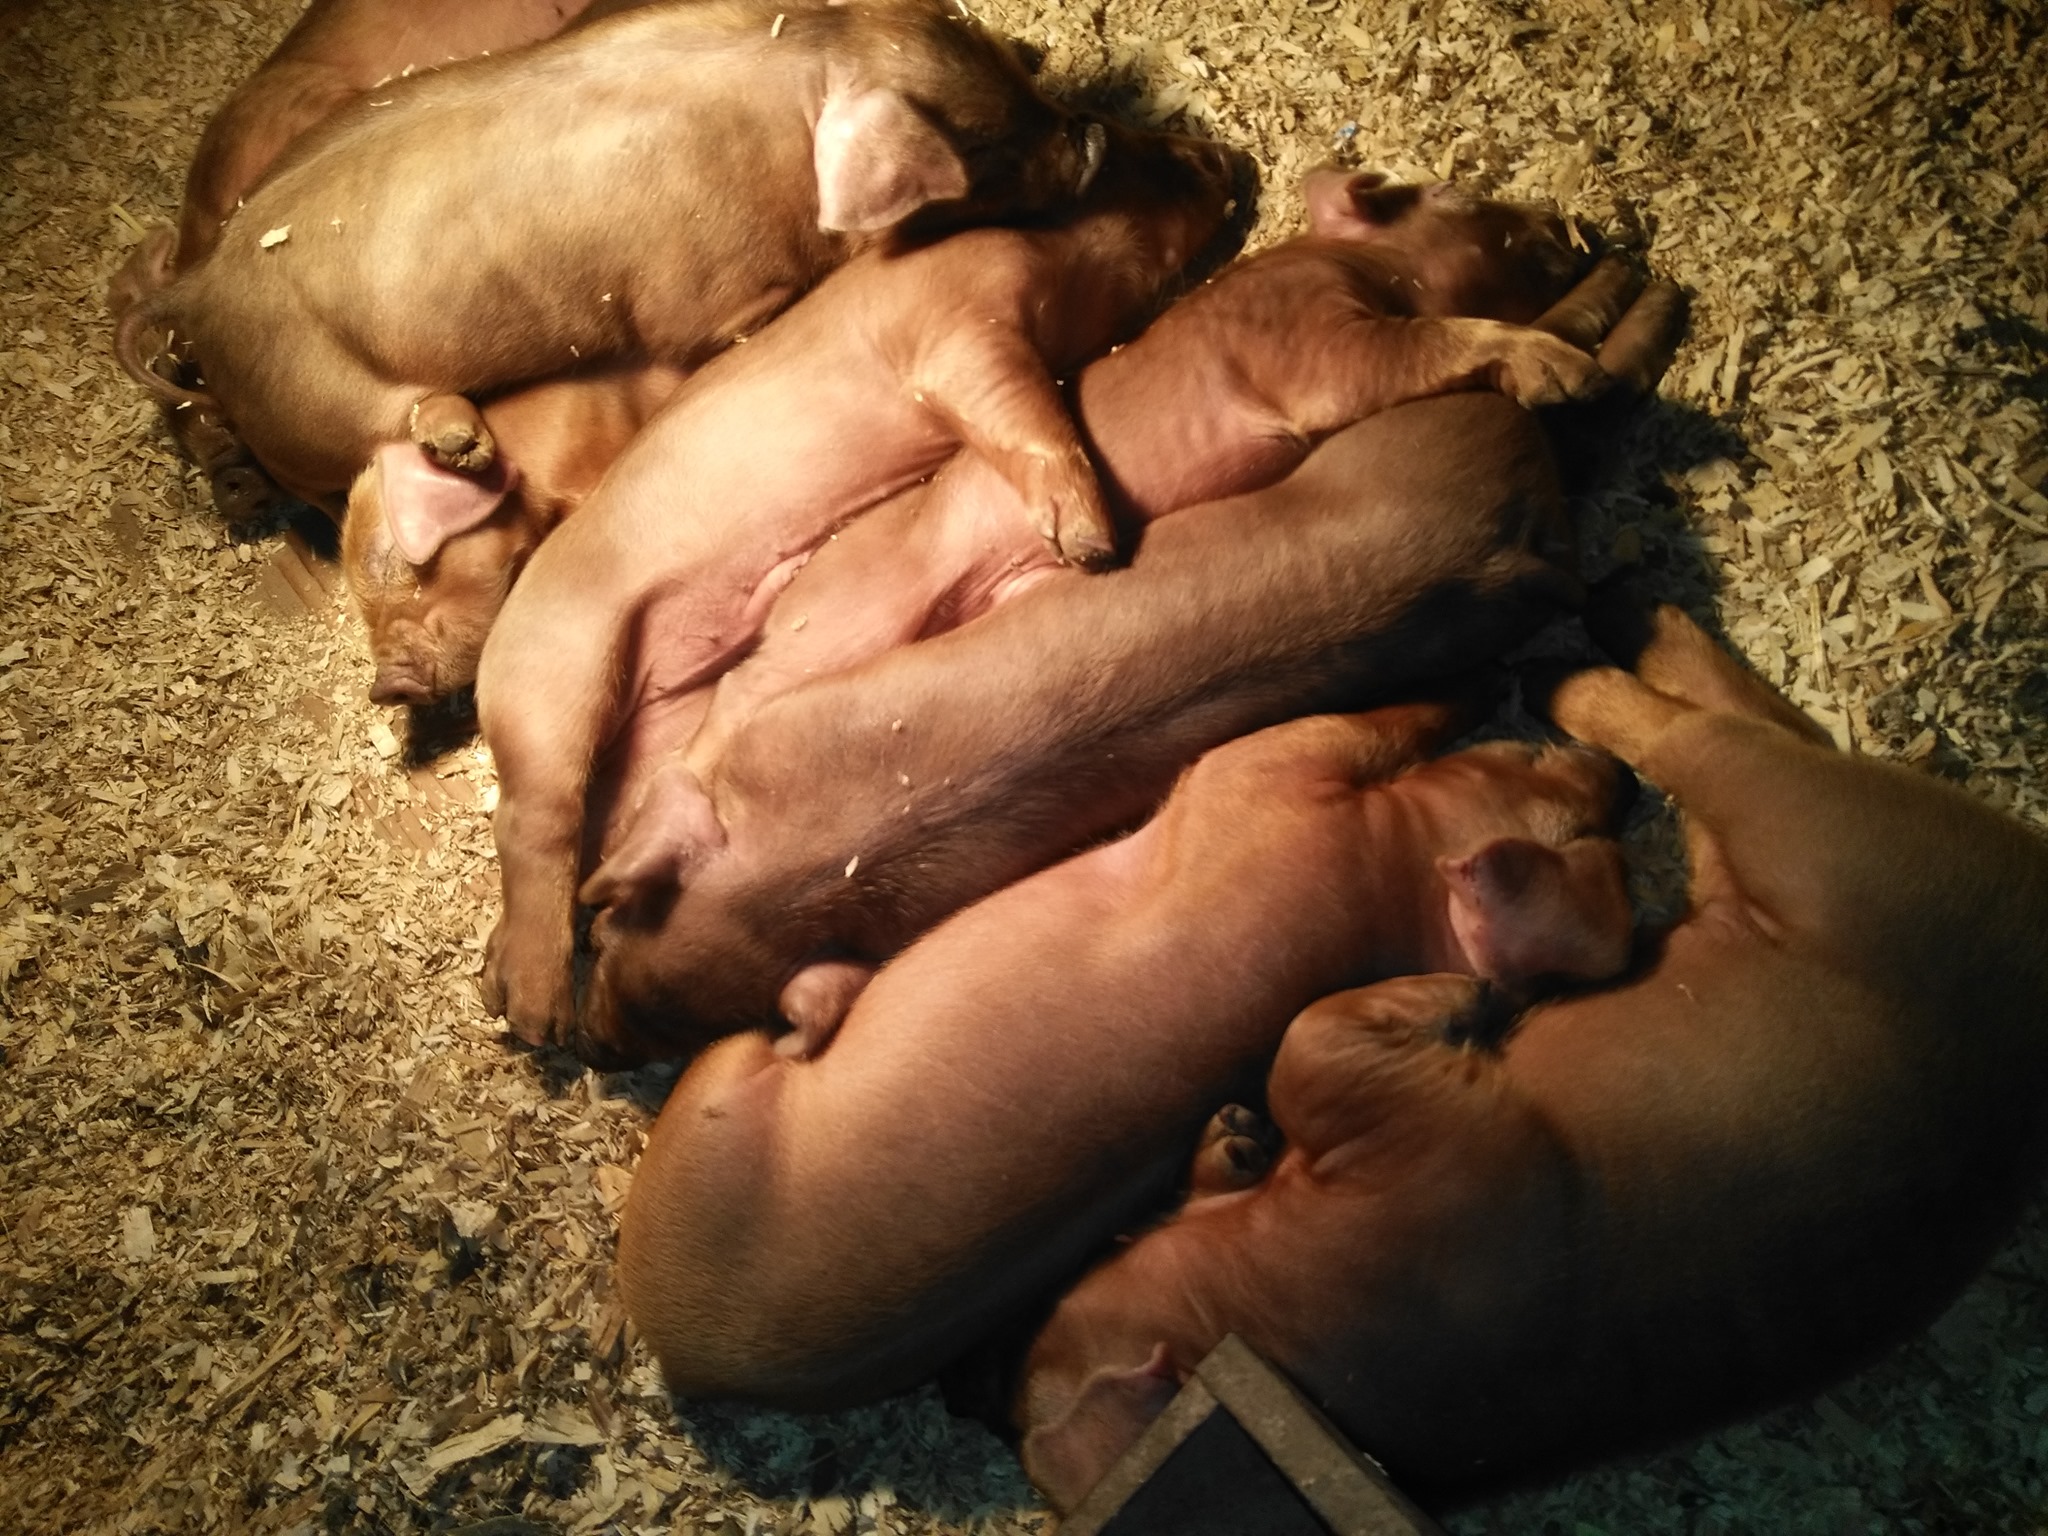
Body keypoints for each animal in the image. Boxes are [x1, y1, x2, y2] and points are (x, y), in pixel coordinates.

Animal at [475, 122, 1250, 1046]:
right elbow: (1026, 411)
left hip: (653, 733)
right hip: (554, 672)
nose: (1228, 159)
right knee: (532, 821)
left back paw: (502, 985)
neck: (1062, 264)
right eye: (1156, 155)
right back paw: (536, 1015)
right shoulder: (957, 330)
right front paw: (1095, 543)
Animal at [616, 699, 1637, 1410]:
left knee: (777, 1030)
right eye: (1535, 756)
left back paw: (825, 993)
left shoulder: (1259, 775)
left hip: (713, 1100)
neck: (1380, 881)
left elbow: (1353, 726)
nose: (1624, 771)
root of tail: (695, 1355)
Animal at [1014, 599, 2048, 1512]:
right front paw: (1232, 1134)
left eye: (1057, 1341)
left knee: (1700, 737)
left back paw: (1572, 660)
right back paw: (1619, 624)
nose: (998, 1389)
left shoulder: (1386, 1123)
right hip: (1770, 840)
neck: (1273, 1311)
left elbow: (1306, 1041)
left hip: (1806, 826)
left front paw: (1460, 1000)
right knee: (1754, 727)